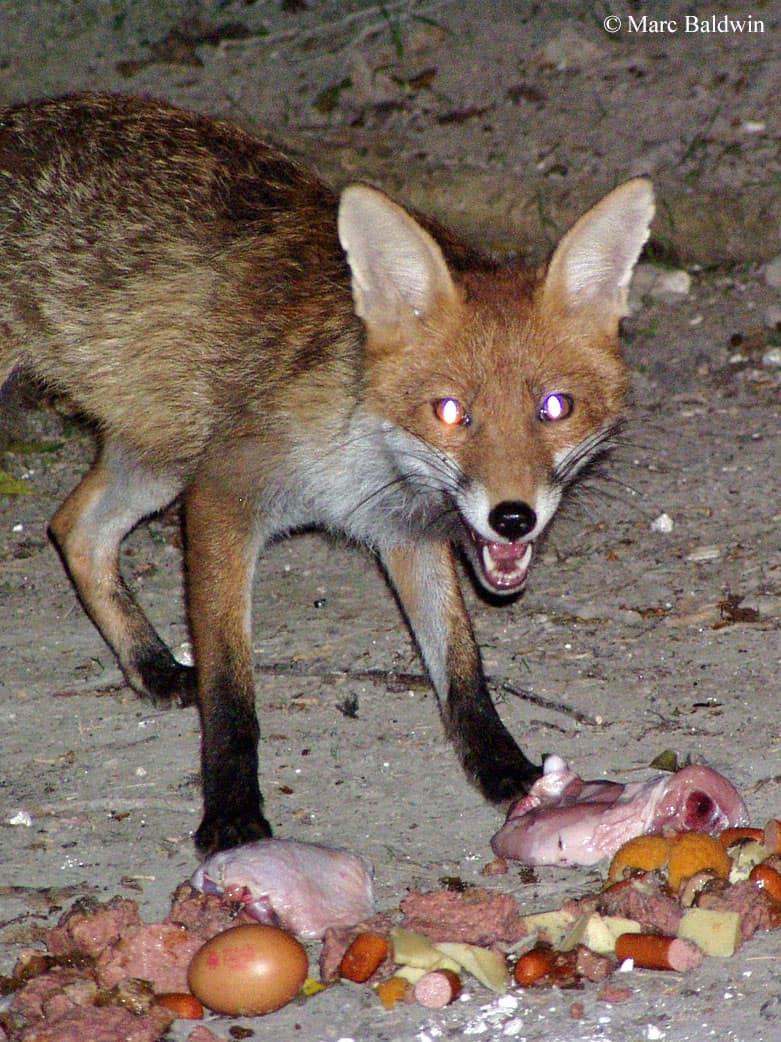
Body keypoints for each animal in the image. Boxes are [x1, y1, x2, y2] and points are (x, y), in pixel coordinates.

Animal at [0, 94, 654, 855]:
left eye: (554, 407)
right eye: (449, 411)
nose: (512, 517)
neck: (356, 453)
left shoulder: (404, 535)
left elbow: (462, 672)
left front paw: (508, 772)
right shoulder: (223, 497)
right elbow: (231, 692)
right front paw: (231, 814)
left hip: (159, 455)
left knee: (75, 527)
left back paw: (150, 665)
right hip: (170, 463)